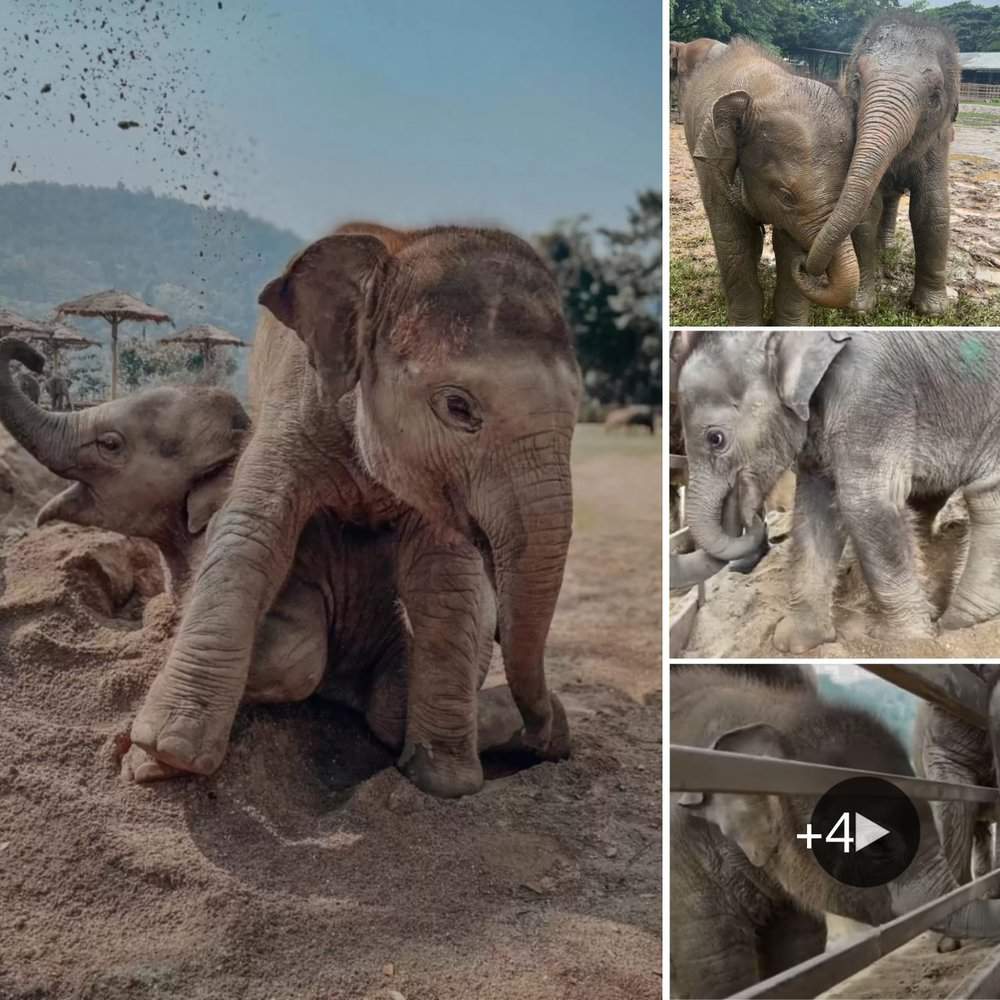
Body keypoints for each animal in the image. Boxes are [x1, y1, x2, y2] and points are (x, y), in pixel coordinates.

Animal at [85, 223, 583, 800]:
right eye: (458, 407)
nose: (541, 734)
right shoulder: (295, 406)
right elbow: (251, 535)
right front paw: (158, 760)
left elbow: (443, 580)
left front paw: (444, 782)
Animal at [674, 329, 1000, 654]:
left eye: (716, 439)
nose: (753, 516)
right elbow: (813, 509)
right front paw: (796, 642)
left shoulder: (871, 395)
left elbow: (864, 503)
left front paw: (906, 645)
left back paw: (957, 621)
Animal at [681, 40, 861, 326]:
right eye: (786, 196)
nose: (806, 264)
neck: (768, 86)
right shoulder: (712, 169)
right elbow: (733, 239)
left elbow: (787, 243)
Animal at [802, 13, 960, 316]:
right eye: (857, 80)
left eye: (935, 96)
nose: (805, 267)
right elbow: (867, 210)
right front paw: (859, 307)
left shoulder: (939, 142)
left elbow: (932, 209)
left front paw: (931, 310)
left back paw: (885, 247)